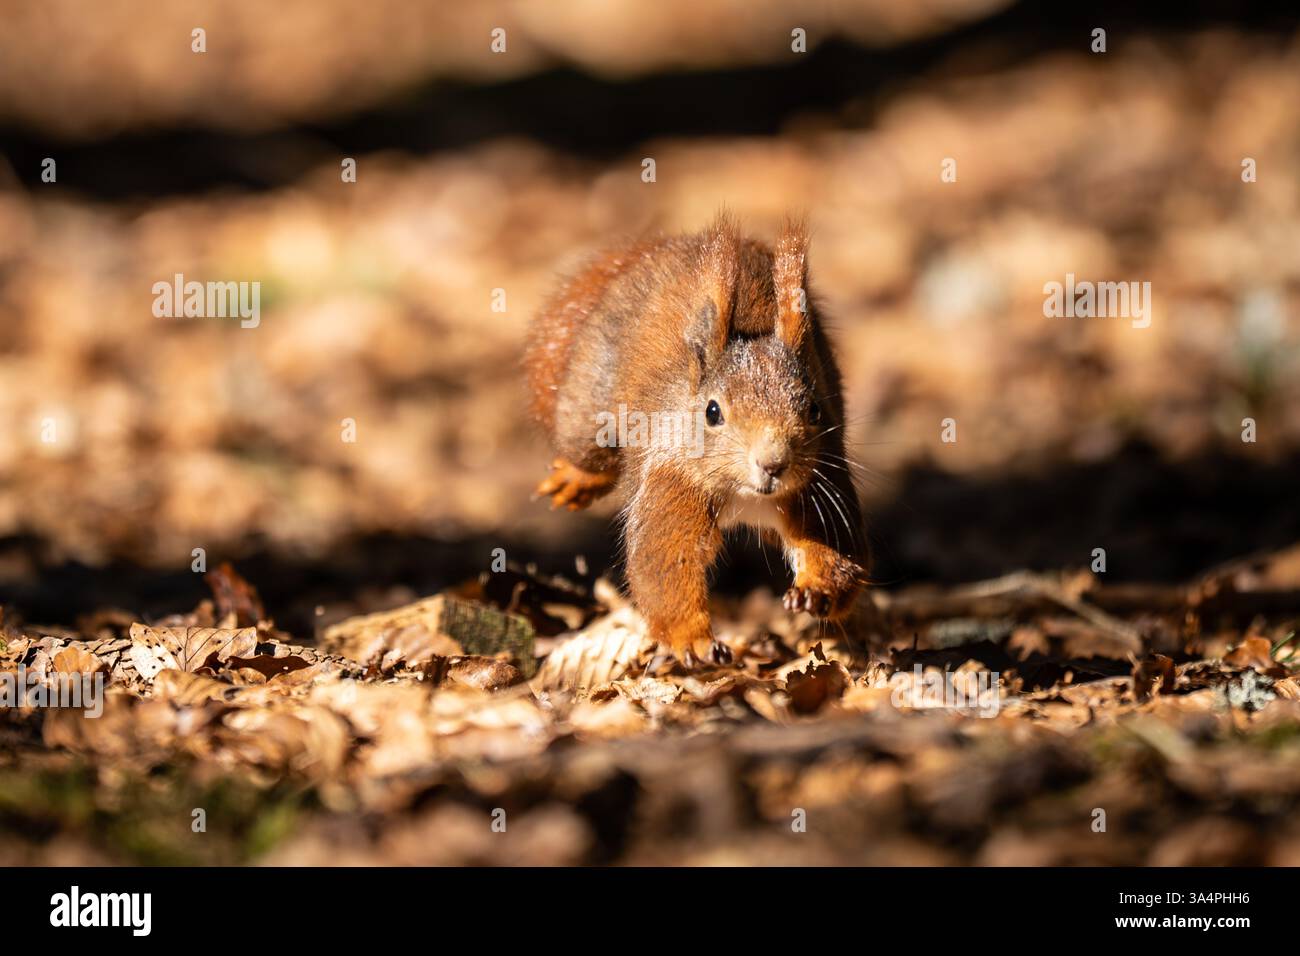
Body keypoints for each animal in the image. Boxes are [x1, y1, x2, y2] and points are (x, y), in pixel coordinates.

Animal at [524, 213, 869, 666]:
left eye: (814, 409)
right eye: (712, 412)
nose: (773, 464)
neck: (742, 493)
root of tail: (656, 250)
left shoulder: (821, 486)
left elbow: (839, 555)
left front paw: (817, 592)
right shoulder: (671, 478)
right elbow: (664, 563)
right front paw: (695, 640)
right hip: (588, 399)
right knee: (585, 445)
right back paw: (576, 479)